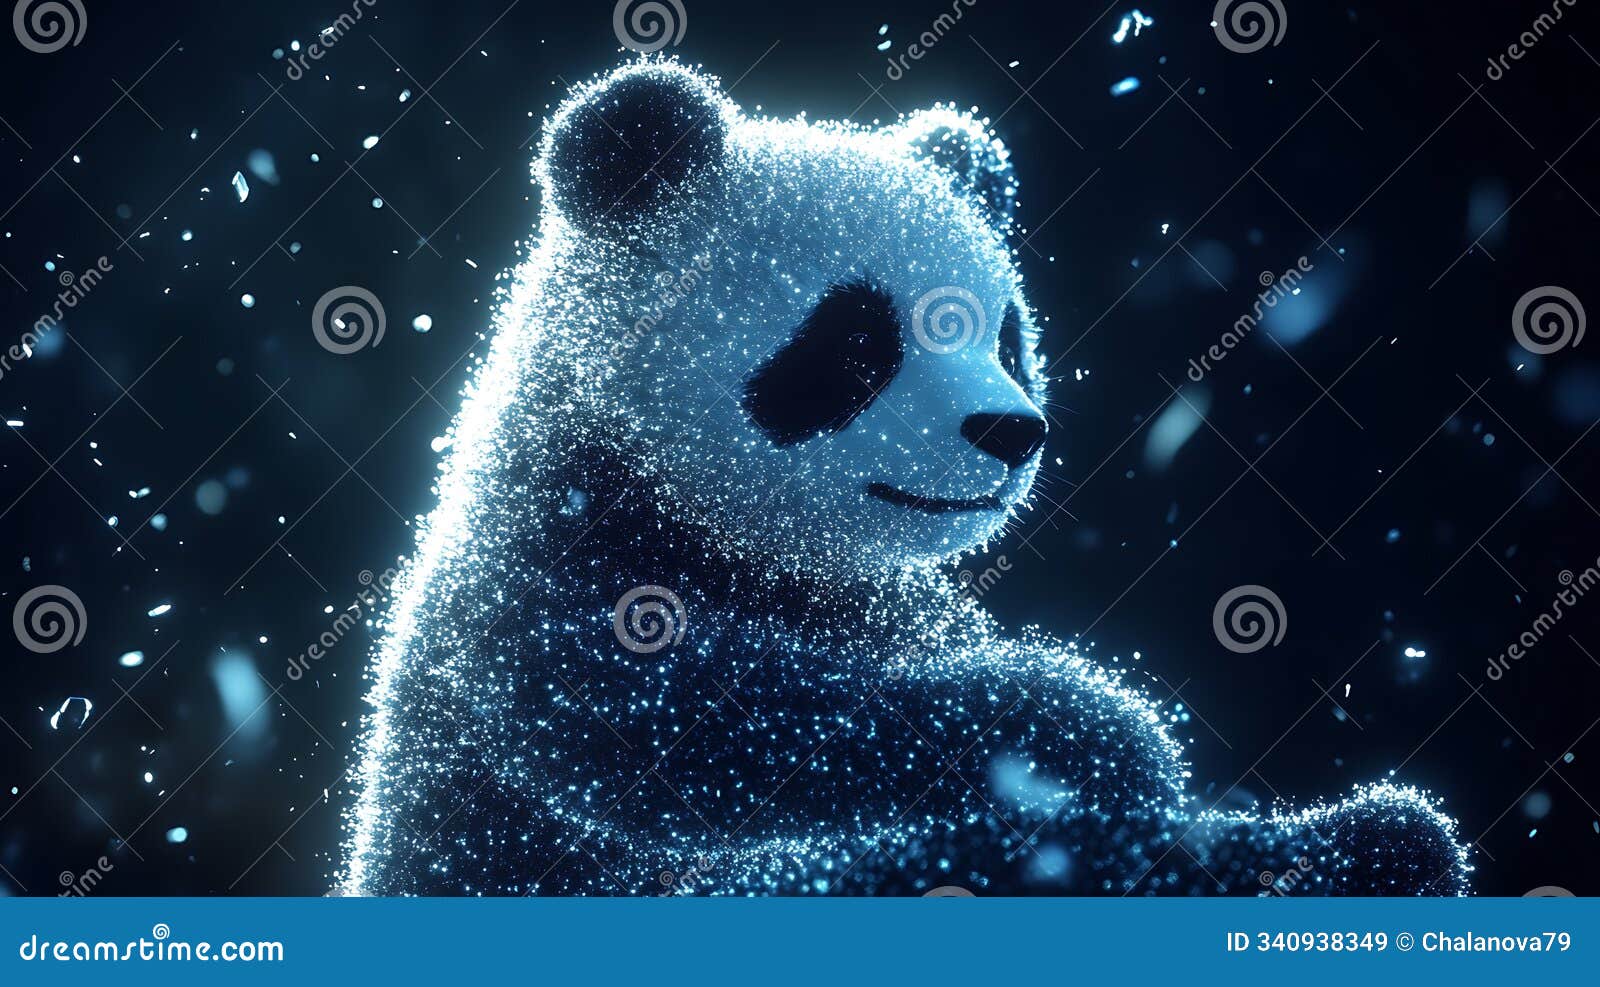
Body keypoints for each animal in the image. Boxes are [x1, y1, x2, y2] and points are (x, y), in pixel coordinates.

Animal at [339, 58, 1470, 896]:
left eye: (1007, 336)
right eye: (854, 343)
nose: (1010, 431)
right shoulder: (540, 594)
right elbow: (714, 723)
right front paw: (1093, 734)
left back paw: (1384, 844)